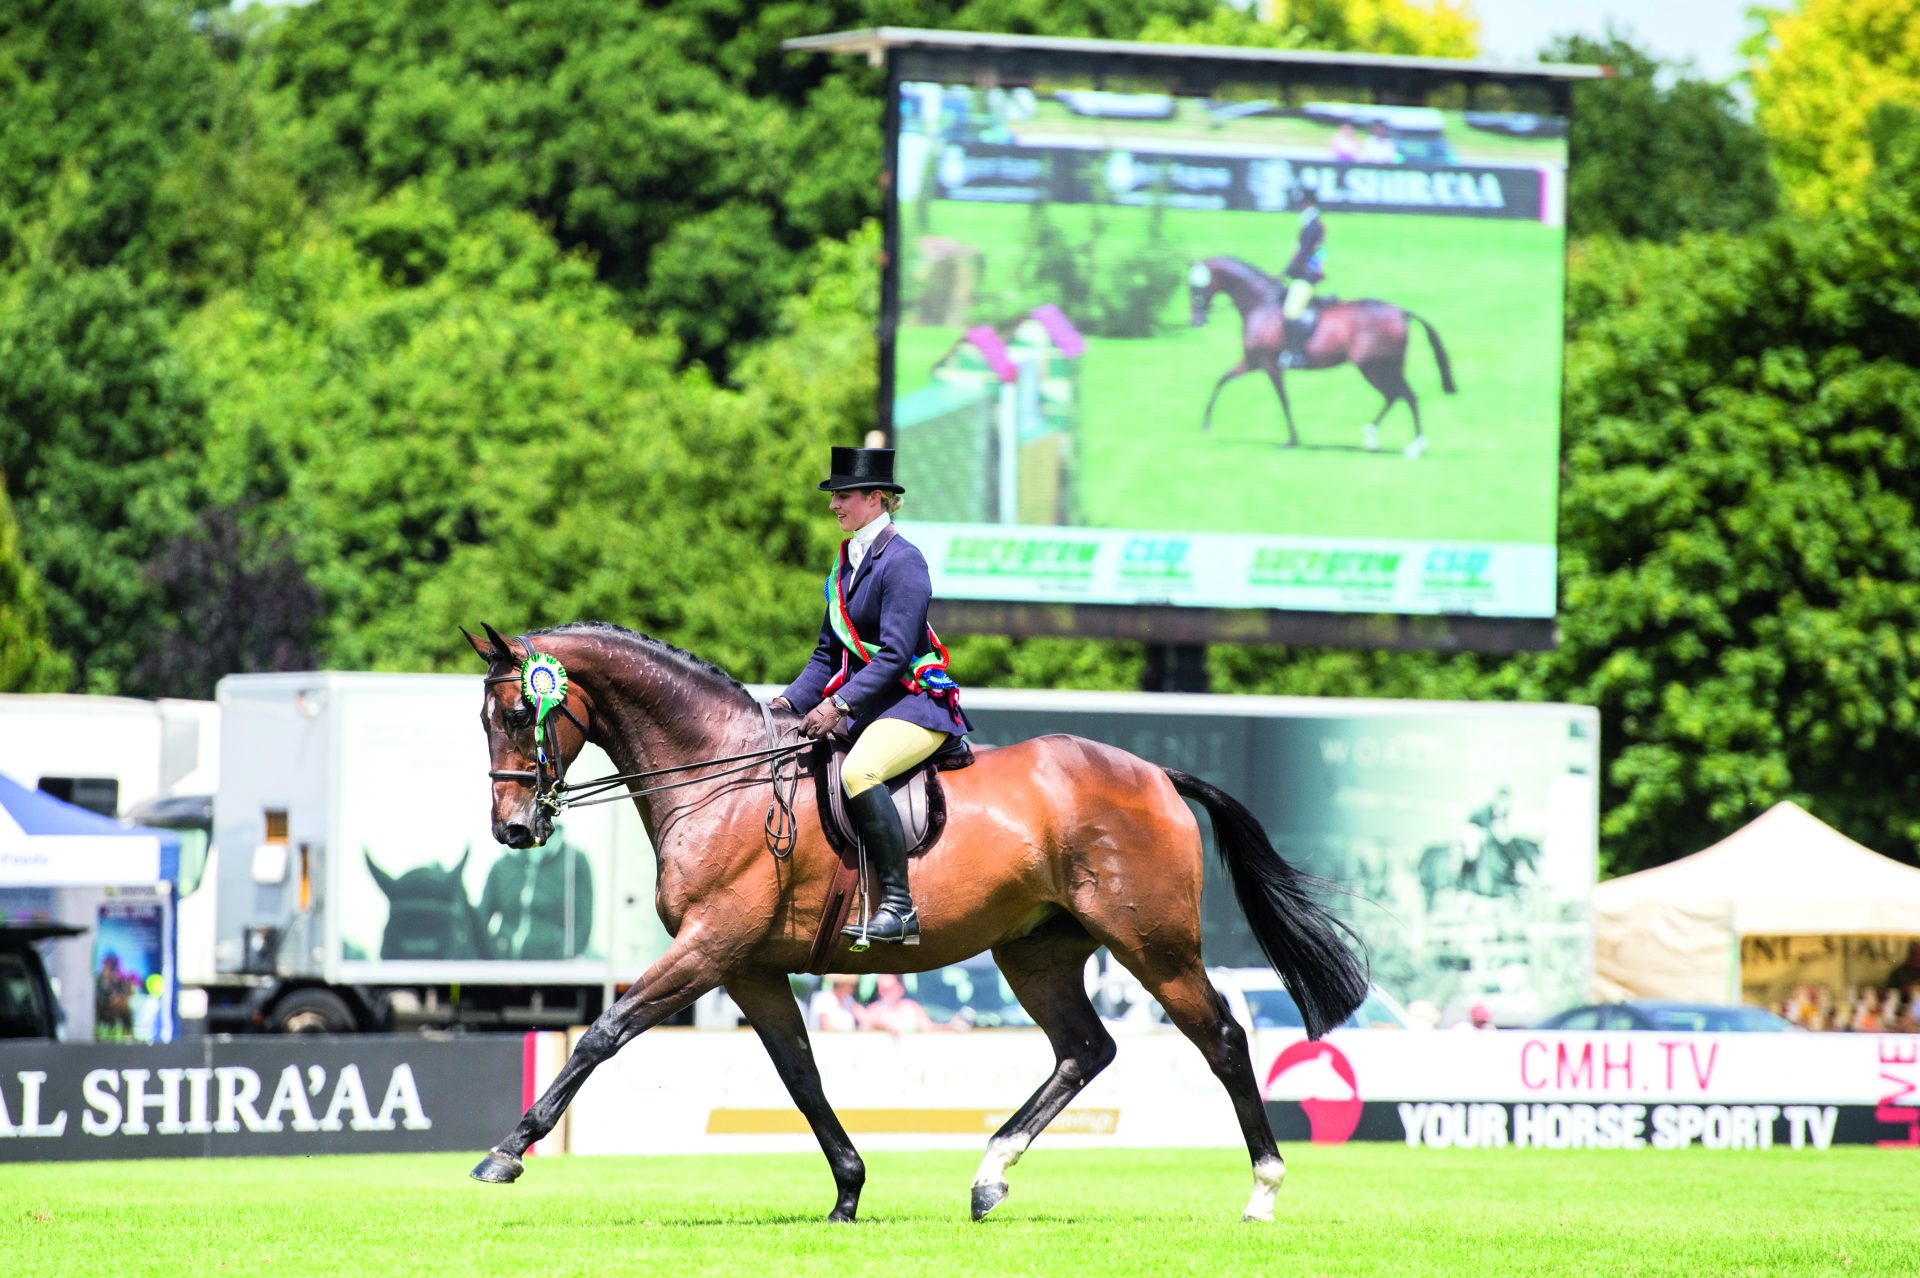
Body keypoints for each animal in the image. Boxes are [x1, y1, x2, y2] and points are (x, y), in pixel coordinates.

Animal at [462, 621, 1368, 1223]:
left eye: (518, 717)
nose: (516, 830)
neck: (725, 778)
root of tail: (1154, 772)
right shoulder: (750, 967)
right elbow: (801, 1077)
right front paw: (848, 1191)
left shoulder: (709, 949)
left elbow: (602, 1034)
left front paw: (507, 1151)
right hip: (1036, 954)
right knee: (1085, 1049)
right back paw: (990, 1175)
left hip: (1155, 943)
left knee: (1224, 1039)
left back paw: (1263, 1190)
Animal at [1187, 256, 1457, 457]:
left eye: (1195, 287)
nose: (1196, 321)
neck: (1261, 304)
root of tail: (1401, 312)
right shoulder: (1253, 362)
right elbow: (1221, 380)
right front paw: (1205, 424)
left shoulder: (1269, 365)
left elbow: (1283, 401)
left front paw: (1292, 440)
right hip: (1383, 368)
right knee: (1396, 396)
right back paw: (1372, 438)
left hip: (1374, 368)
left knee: (1406, 396)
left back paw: (1414, 447)